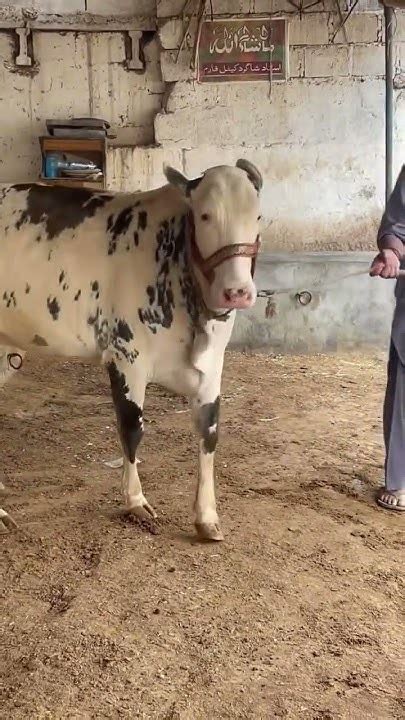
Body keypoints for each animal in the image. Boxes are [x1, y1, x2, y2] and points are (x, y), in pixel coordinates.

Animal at [0, 160, 262, 540]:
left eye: (258, 216)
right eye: (205, 215)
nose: (237, 292)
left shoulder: (213, 367)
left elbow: (209, 435)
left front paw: (207, 517)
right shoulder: (126, 356)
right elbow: (132, 430)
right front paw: (136, 501)